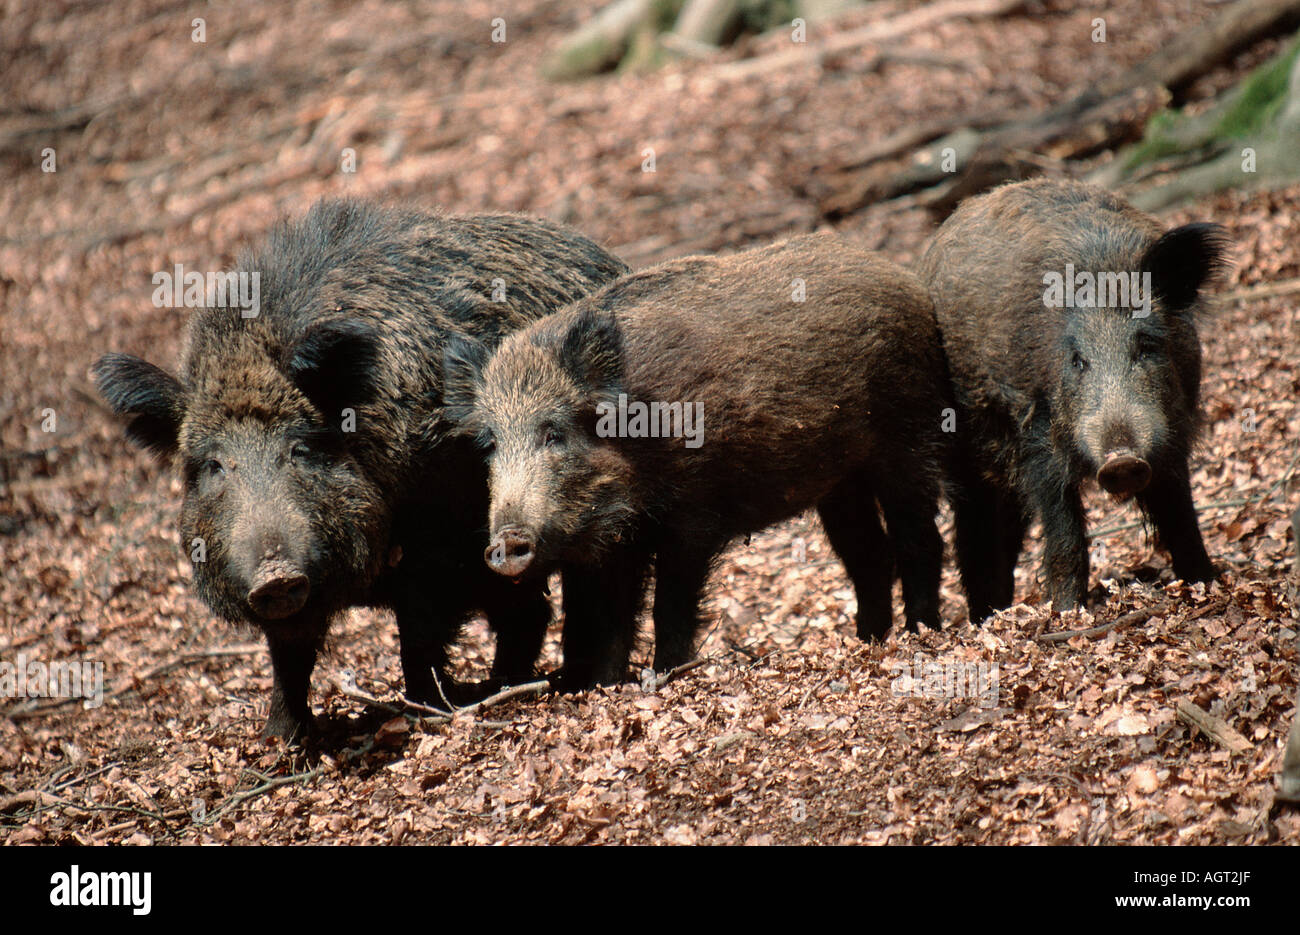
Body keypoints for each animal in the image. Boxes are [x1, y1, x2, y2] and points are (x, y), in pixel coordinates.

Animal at [93, 199, 628, 738]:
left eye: (299, 448)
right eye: (213, 466)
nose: (275, 573)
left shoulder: (437, 545)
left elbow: (420, 635)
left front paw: (424, 713)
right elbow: (288, 653)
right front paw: (280, 740)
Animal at [443, 234, 951, 689]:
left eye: (554, 432)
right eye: (490, 445)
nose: (505, 544)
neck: (639, 440)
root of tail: (908, 282)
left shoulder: (694, 517)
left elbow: (670, 604)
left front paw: (665, 676)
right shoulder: (619, 544)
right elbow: (613, 618)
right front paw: (604, 687)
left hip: (909, 438)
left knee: (919, 538)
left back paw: (920, 634)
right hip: (841, 483)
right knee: (868, 554)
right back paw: (868, 641)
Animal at [914, 178, 1230, 622]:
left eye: (1146, 345)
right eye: (1078, 360)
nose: (1121, 462)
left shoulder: (1173, 432)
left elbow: (1180, 515)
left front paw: (1207, 584)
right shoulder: (1036, 433)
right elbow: (1064, 532)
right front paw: (1067, 615)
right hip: (963, 449)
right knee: (974, 530)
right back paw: (984, 618)